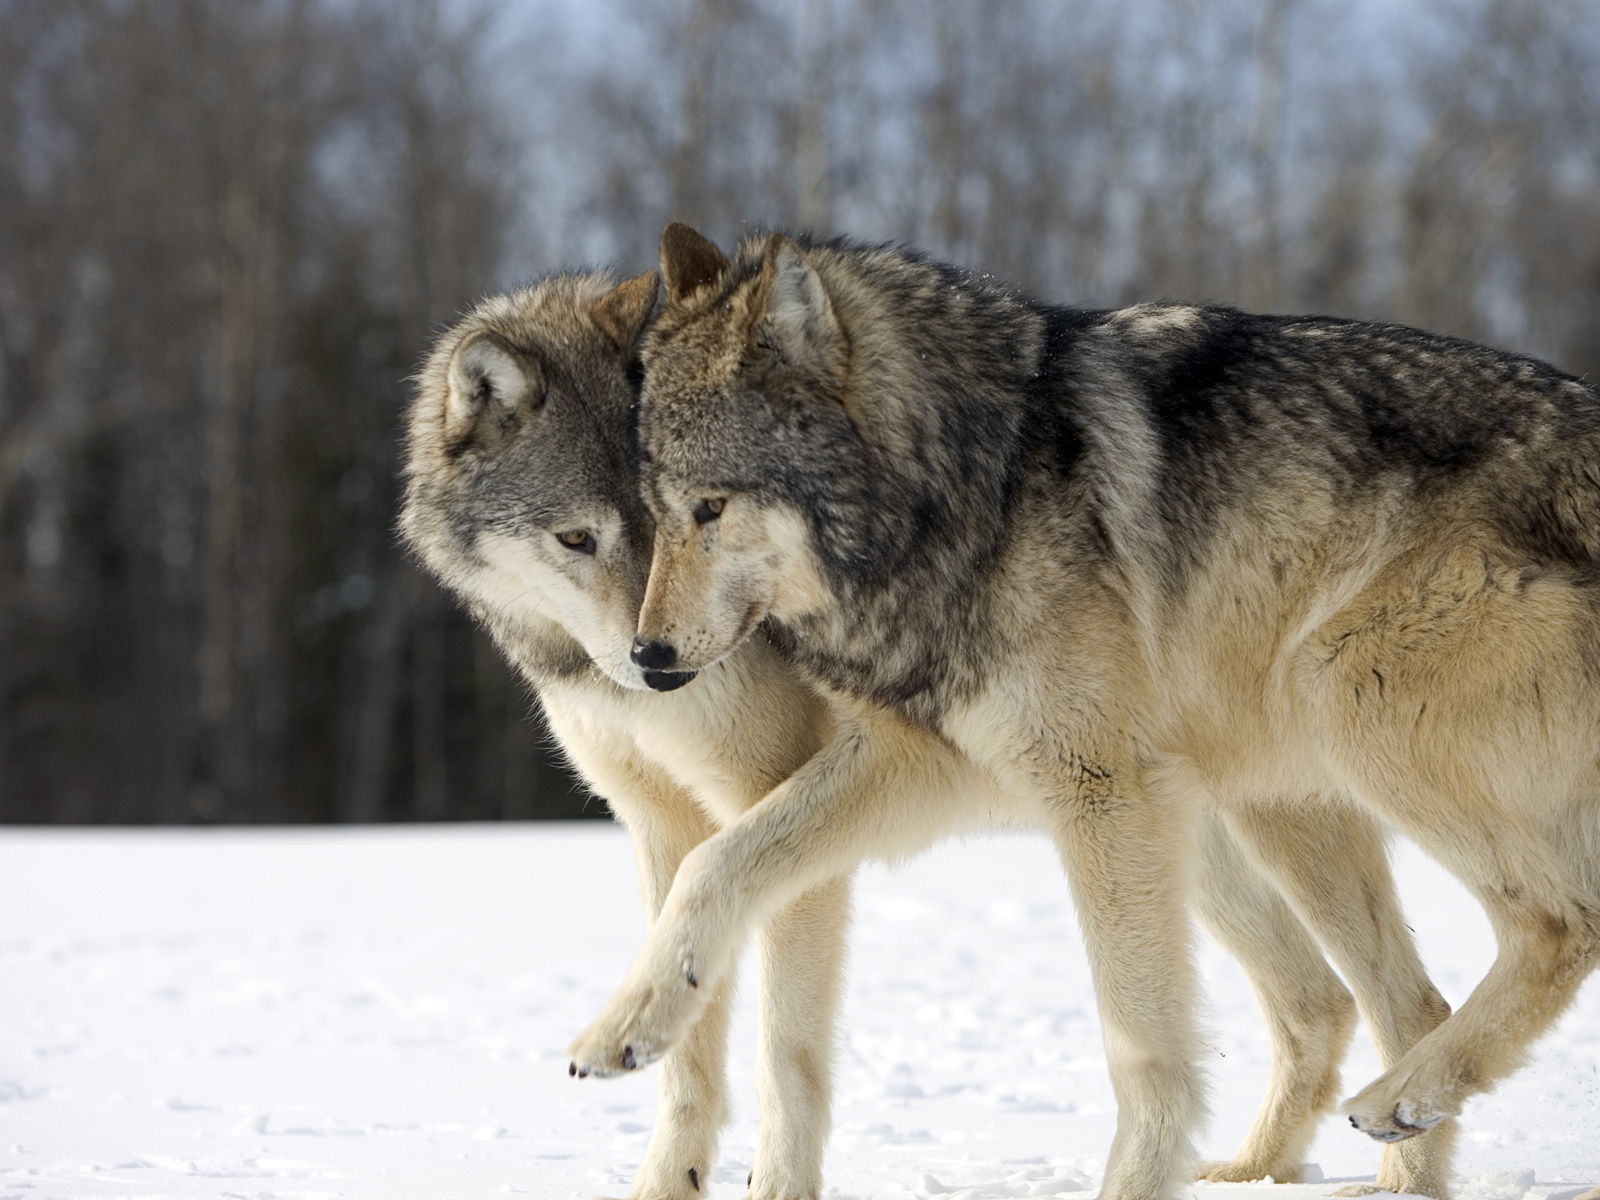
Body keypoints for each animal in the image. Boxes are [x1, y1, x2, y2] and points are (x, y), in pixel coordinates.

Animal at [567, 223, 1600, 1200]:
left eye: (711, 507)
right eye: (655, 511)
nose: (648, 660)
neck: (968, 490)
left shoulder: (1100, 790)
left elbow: (1140, 1047)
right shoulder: (926, 763)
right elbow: (714, 861)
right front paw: (628, 1024)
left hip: (1336, 691)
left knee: (1561, 923)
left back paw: (1399, 1101)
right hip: (1278, 796)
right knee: (1405, 1001)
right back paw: (1371, 1164)